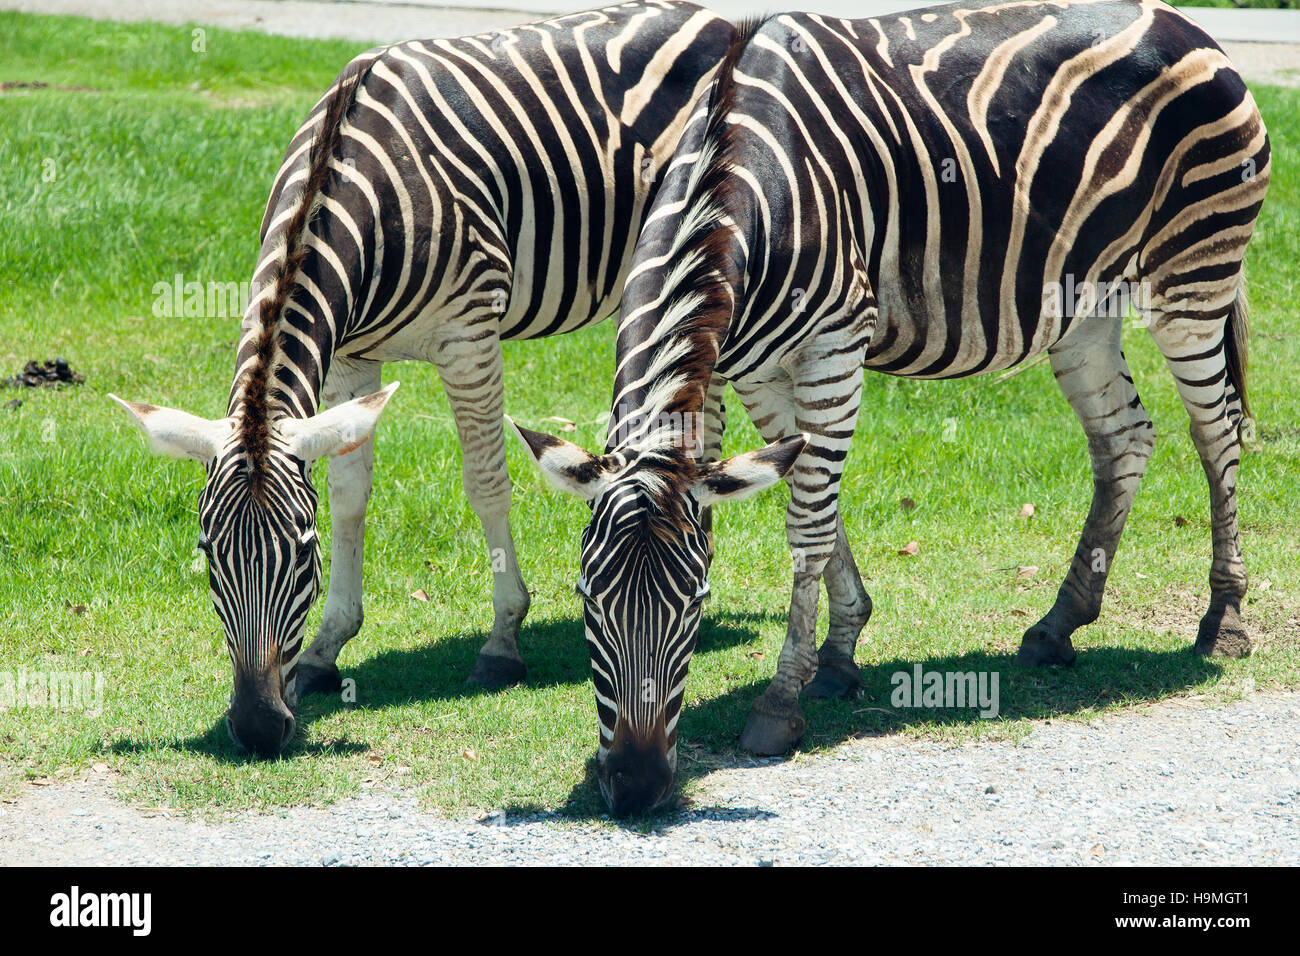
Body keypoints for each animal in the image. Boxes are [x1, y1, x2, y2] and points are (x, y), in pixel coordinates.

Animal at [108, 1, 735, 756]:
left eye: (301, 553)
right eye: (208, 555)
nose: (258, 728)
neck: (348, 180)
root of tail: (708, 16)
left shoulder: (468, 336)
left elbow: (486, 483)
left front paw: (502, 641)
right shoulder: (349, 358)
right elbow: (349, 494)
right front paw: (324, 651)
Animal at [513, 0, 1271, 814]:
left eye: (695, 604)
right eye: (587, 602)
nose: (634, 787)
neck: (737, 171)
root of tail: (1183, 24)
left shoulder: (834, 346)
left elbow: (808, 524)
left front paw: (783, 701)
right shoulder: (749, 368)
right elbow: (808, 494)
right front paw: (841, 653)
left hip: (1194, 275)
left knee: (1217, 434)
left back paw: (1224, 618)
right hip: (1082, 304)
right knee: (1124, 438)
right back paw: (1059, 624)